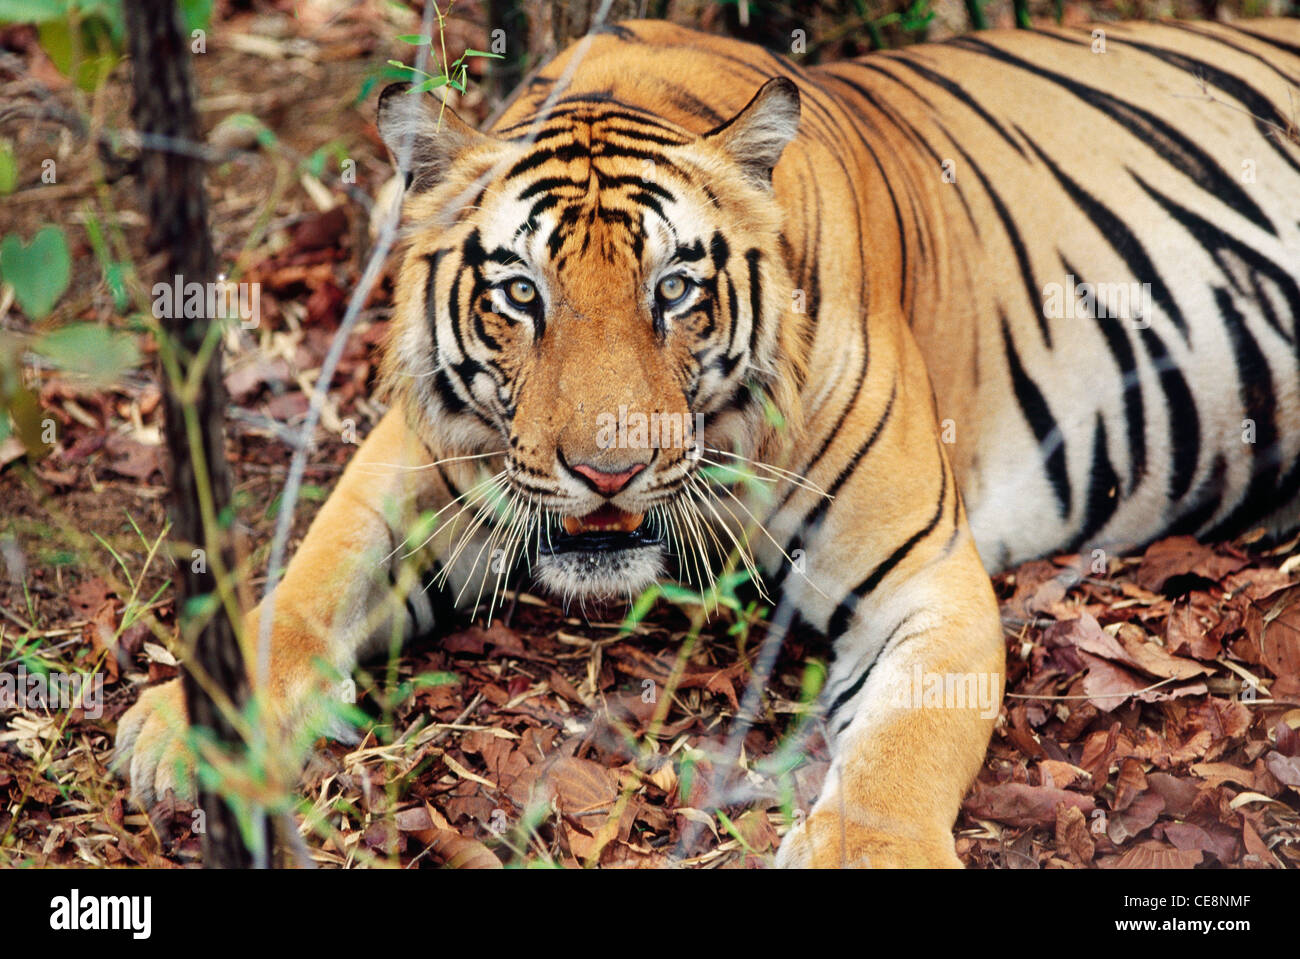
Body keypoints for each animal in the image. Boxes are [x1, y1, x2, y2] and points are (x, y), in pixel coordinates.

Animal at [116, 17, 1300, 867]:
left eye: (675, 290)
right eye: (520, 292)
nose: (609, 470)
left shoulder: (928, 575)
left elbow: (903, 749)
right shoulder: (415, 466)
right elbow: (310, 582)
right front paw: (189, 724)